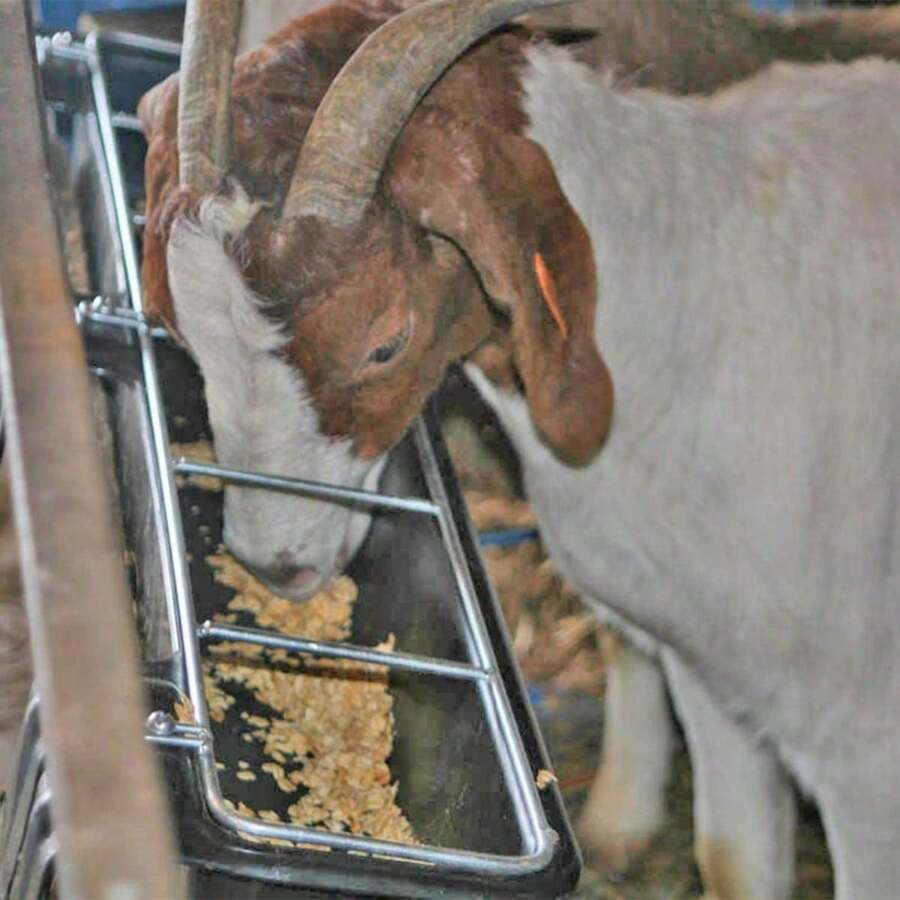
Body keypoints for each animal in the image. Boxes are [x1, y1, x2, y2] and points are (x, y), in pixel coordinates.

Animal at [140, 1, 900, 896]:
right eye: (173, 322)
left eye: (386, 341)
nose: (274, 563)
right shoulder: (717, 675)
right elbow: (733, 861)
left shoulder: (863, 751)